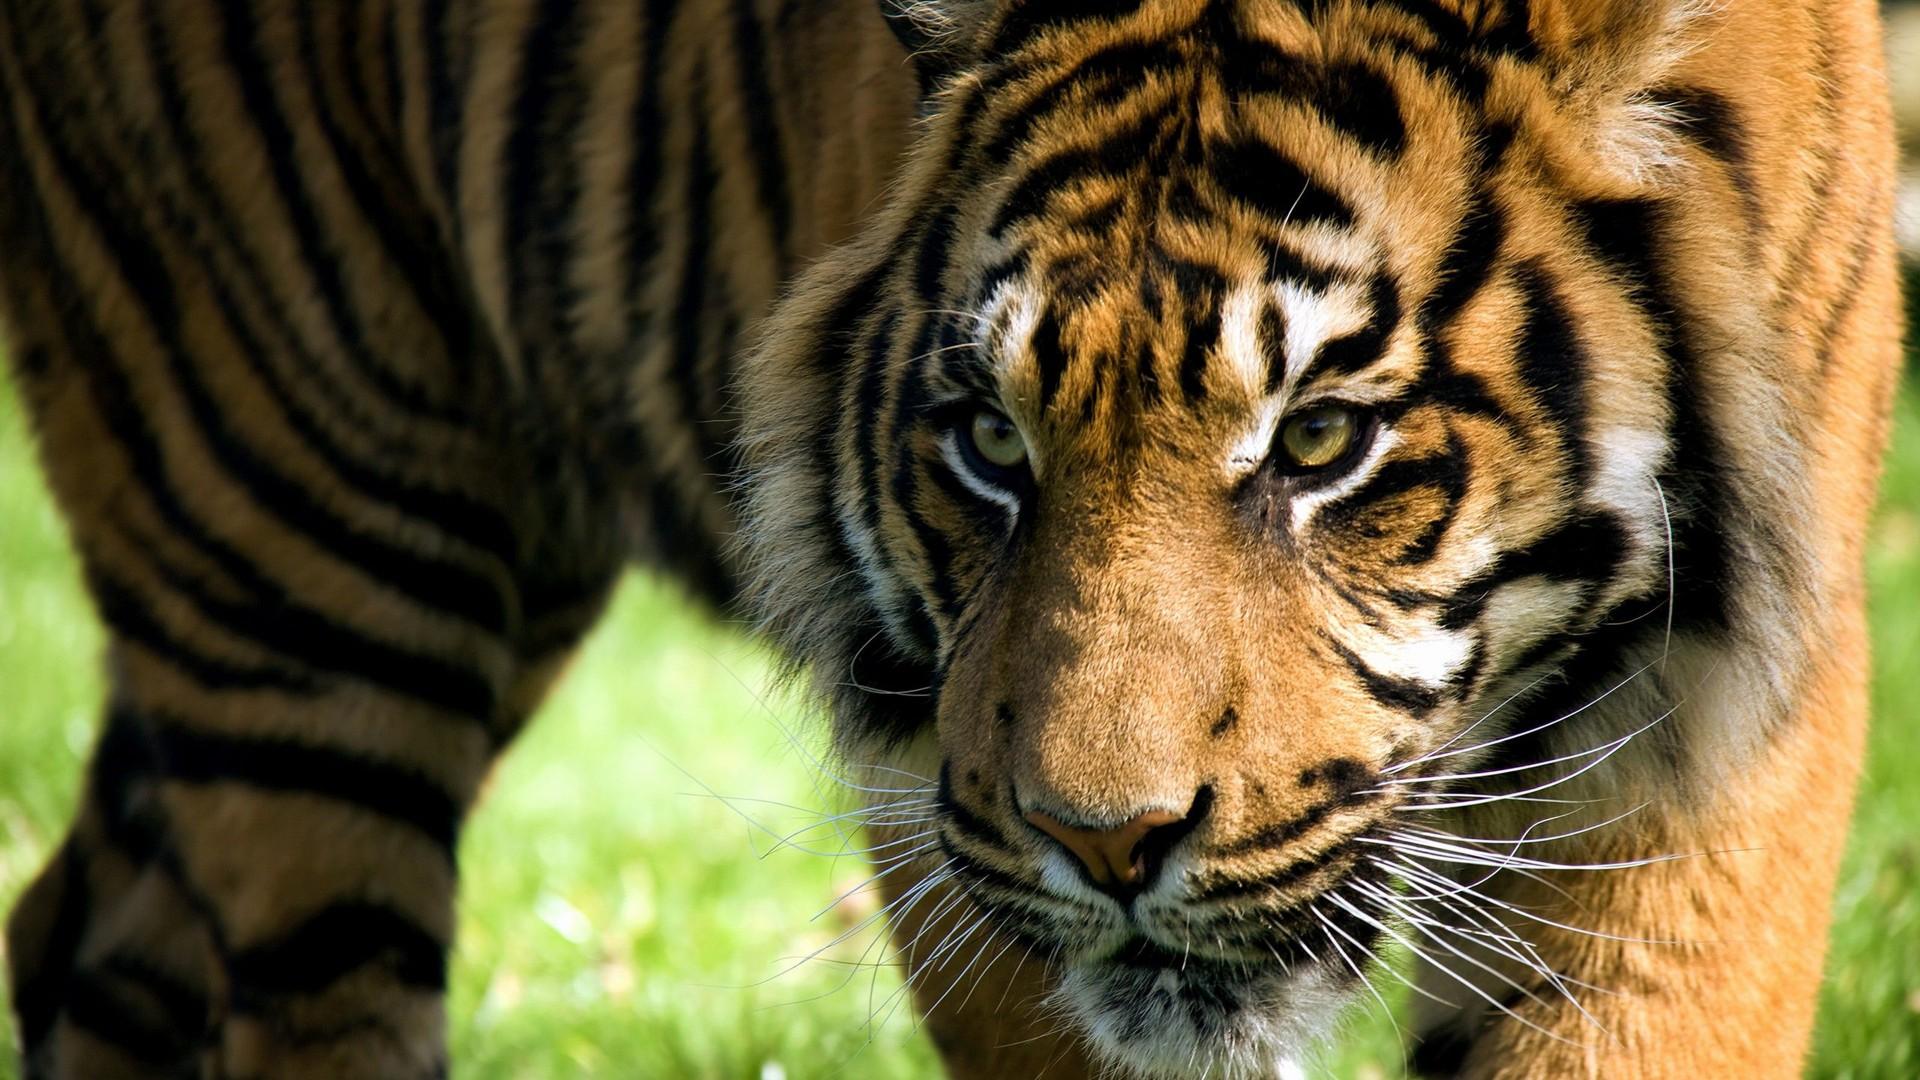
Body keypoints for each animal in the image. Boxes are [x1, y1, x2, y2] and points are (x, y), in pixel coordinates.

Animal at [0, 0, 1902, 1076]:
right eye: (994, 441)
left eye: (1322, 439)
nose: (1105, 845)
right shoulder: (945, 800)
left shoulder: (1706, 737)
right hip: (304, 538)